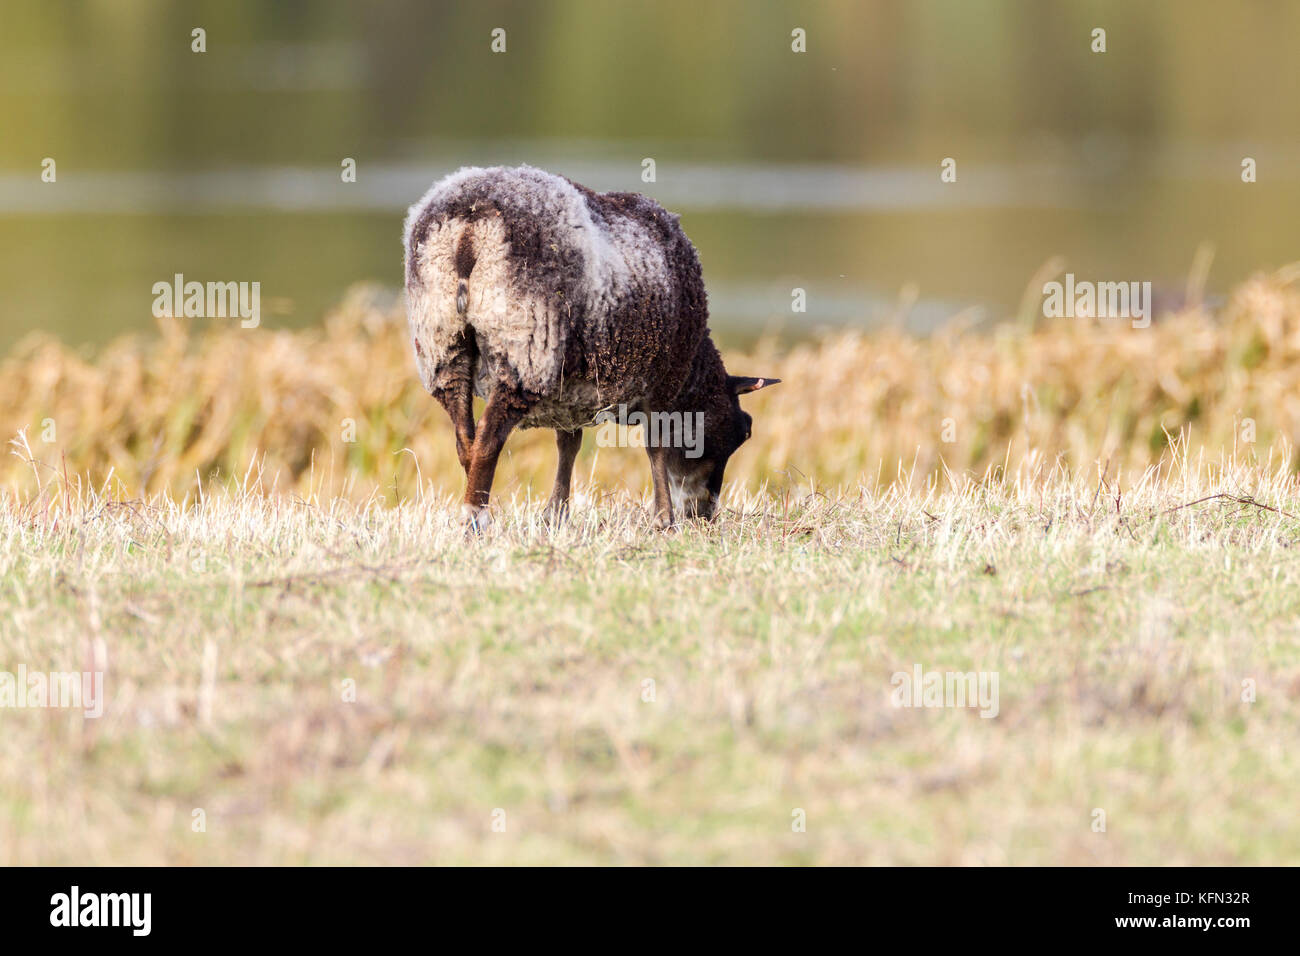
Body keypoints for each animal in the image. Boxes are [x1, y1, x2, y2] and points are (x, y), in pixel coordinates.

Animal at [403, 164, 779, 530]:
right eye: (742, 431)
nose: (704, 515)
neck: (692, 374)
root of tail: (469, 224)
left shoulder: (569, 397)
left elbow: (568, 446)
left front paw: (555, 514)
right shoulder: (663, 380)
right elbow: (655, 447)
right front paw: (664, 519)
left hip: (443, 343)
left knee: (463, 436)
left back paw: (474, 502)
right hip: (526, 345)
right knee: (487, 438)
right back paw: (475, 517)